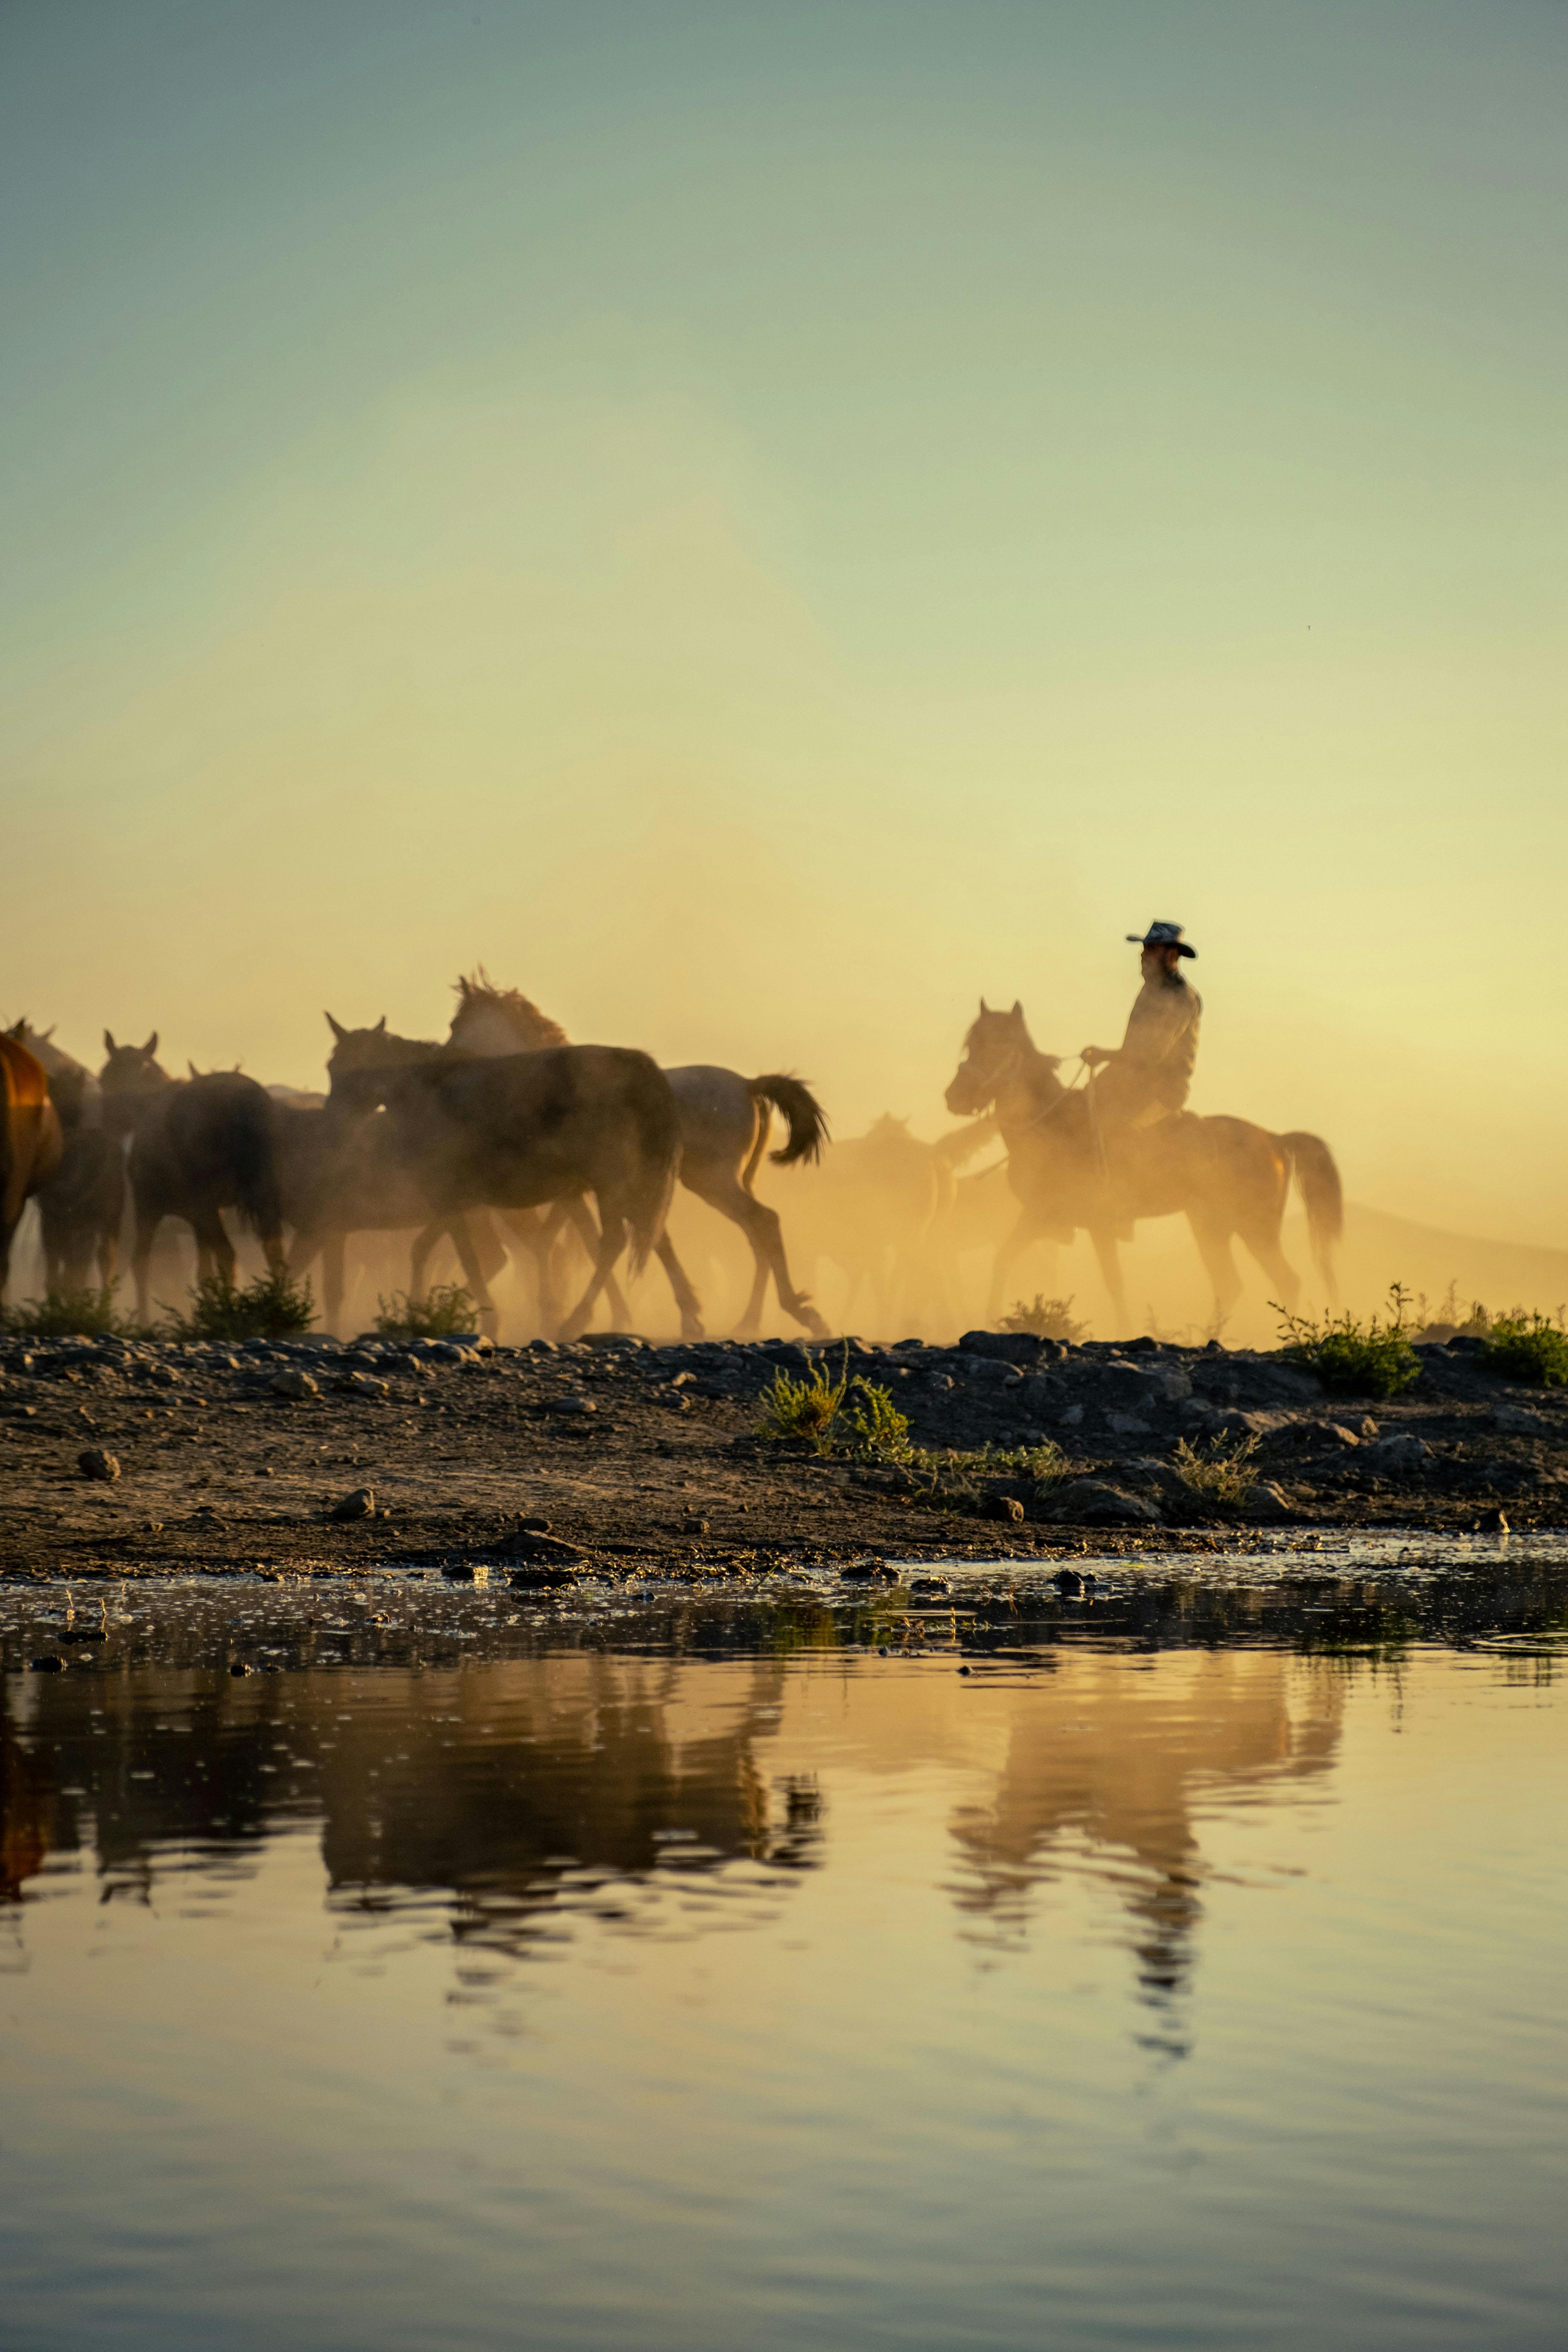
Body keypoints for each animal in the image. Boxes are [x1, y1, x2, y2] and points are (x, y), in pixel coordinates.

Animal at [99, 1033, 287, 1321]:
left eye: (105, 1075)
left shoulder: (149, 1206)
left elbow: (140, 1262)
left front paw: (144, 1322)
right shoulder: (199, 1216)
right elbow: (203, 1273)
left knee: (229, 1256)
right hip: (261, 1198)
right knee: (273, 1253)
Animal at [325, 1030, 681, 1342]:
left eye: (353, 1068)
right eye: (331, 1067)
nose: (333, 1123)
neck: (428, 1089)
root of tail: (636, 1064)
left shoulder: (448, 1195)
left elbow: (470, 1258)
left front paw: (489, 1321)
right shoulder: (454, 1197)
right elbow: (424, 1250)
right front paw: (419, 1314)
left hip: (611, 1181)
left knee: (613, 1242)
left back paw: (574, 1322)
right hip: (626, 1185)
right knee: (649, 1237)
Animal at [443, 971, 830, 1338]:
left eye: (456, 1025)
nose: (446, 1059)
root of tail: (749, 1085)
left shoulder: (588, 1192)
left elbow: (587, 1242)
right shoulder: (584, 1193)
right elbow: (623, 1240)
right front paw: (685, 1315)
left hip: (713, 1181)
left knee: (765, 1223)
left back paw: (799, 1314)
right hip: (721, 1183)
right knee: (757, 1236)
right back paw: (751, 1322)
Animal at [942, 1000, 1342, 1333]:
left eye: (998, 1046)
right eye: (971, 1045)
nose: (954, 1098)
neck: (1051, 1124)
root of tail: (1276, 1140)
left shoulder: (1099, 1223)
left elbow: (1114, 1282)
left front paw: (1125, 1332)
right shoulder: (1039, 1214)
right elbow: (1003, 1259)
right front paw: (993, 1319)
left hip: (1256, 1229)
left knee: (1286, 1281)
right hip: (1211, 1226)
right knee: (1230, 1284)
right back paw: (1206, 1340)